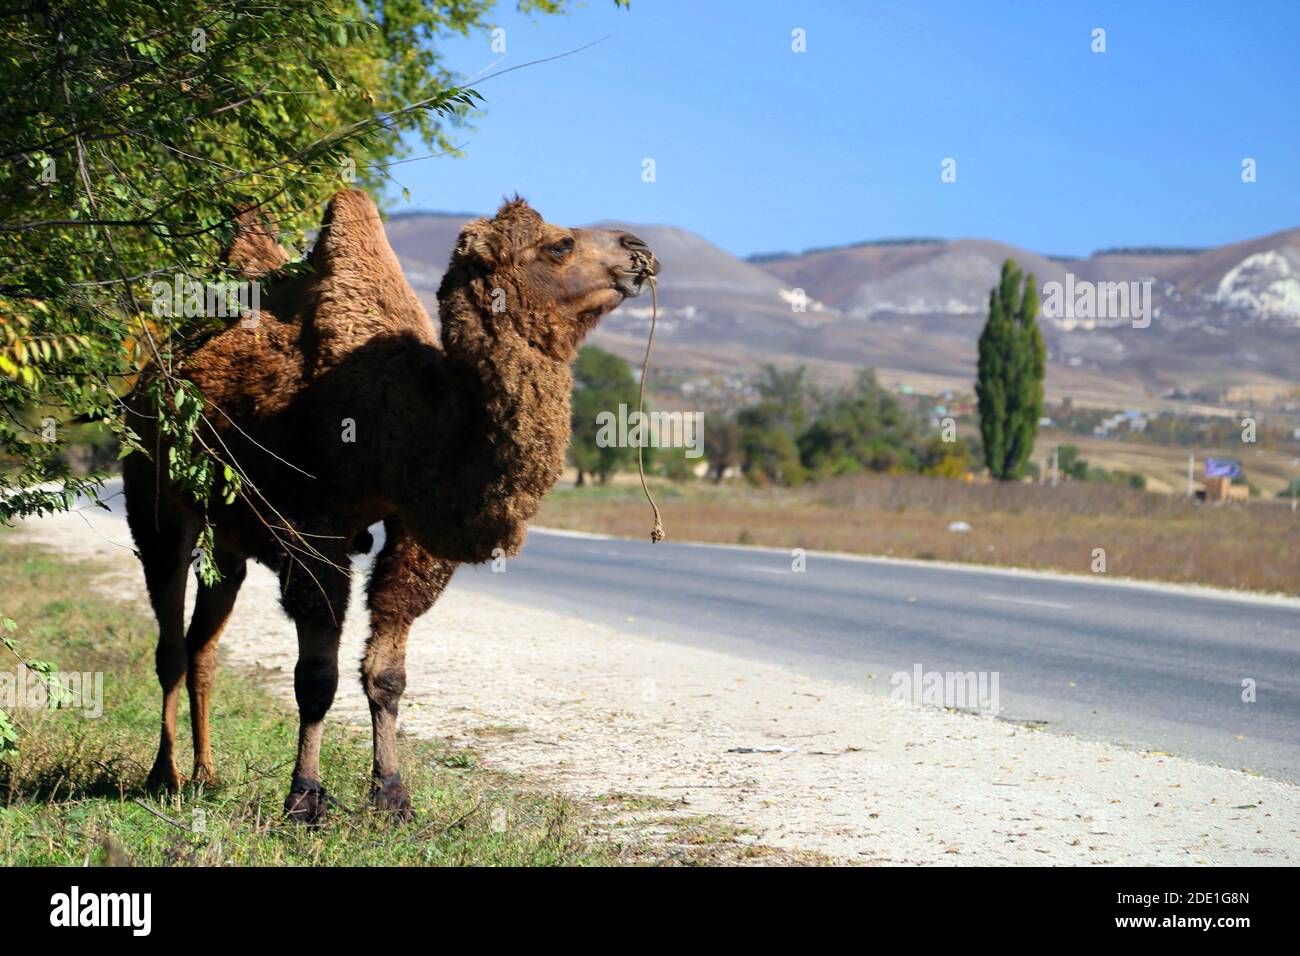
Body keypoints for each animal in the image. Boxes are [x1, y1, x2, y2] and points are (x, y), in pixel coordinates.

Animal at [123, 190, 659, 822]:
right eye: (559, 244)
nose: (639, 248)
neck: (411, 420)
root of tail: (147, 381)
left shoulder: (412, 533)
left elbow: (387, 675)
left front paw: (393, 794)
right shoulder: (316, 525)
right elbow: (316, 676)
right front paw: (304, 797)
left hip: (227, 540)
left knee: (203, 644)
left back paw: (206, 772)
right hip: (155, 500)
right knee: (170, 642)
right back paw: (166, 774)